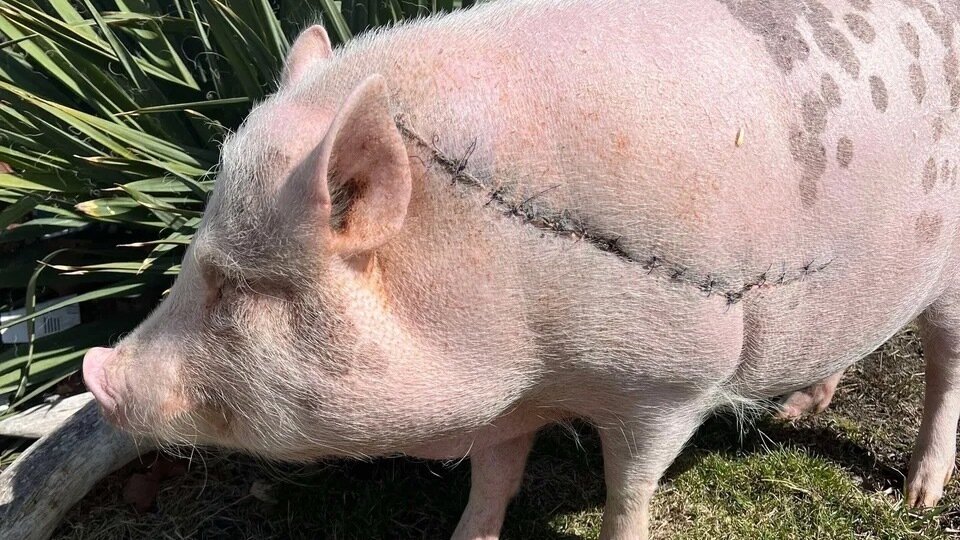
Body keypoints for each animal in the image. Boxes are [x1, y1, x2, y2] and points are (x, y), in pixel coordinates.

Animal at [82, 0, 960, 538]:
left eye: (237, 284)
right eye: (196, 257)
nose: (95, 369)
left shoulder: (672, 382)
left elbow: (630, 491)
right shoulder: (508, 401)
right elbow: (494, 480)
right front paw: (467, 533)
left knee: (943, 364)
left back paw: (917, 496)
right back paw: (799, 411)